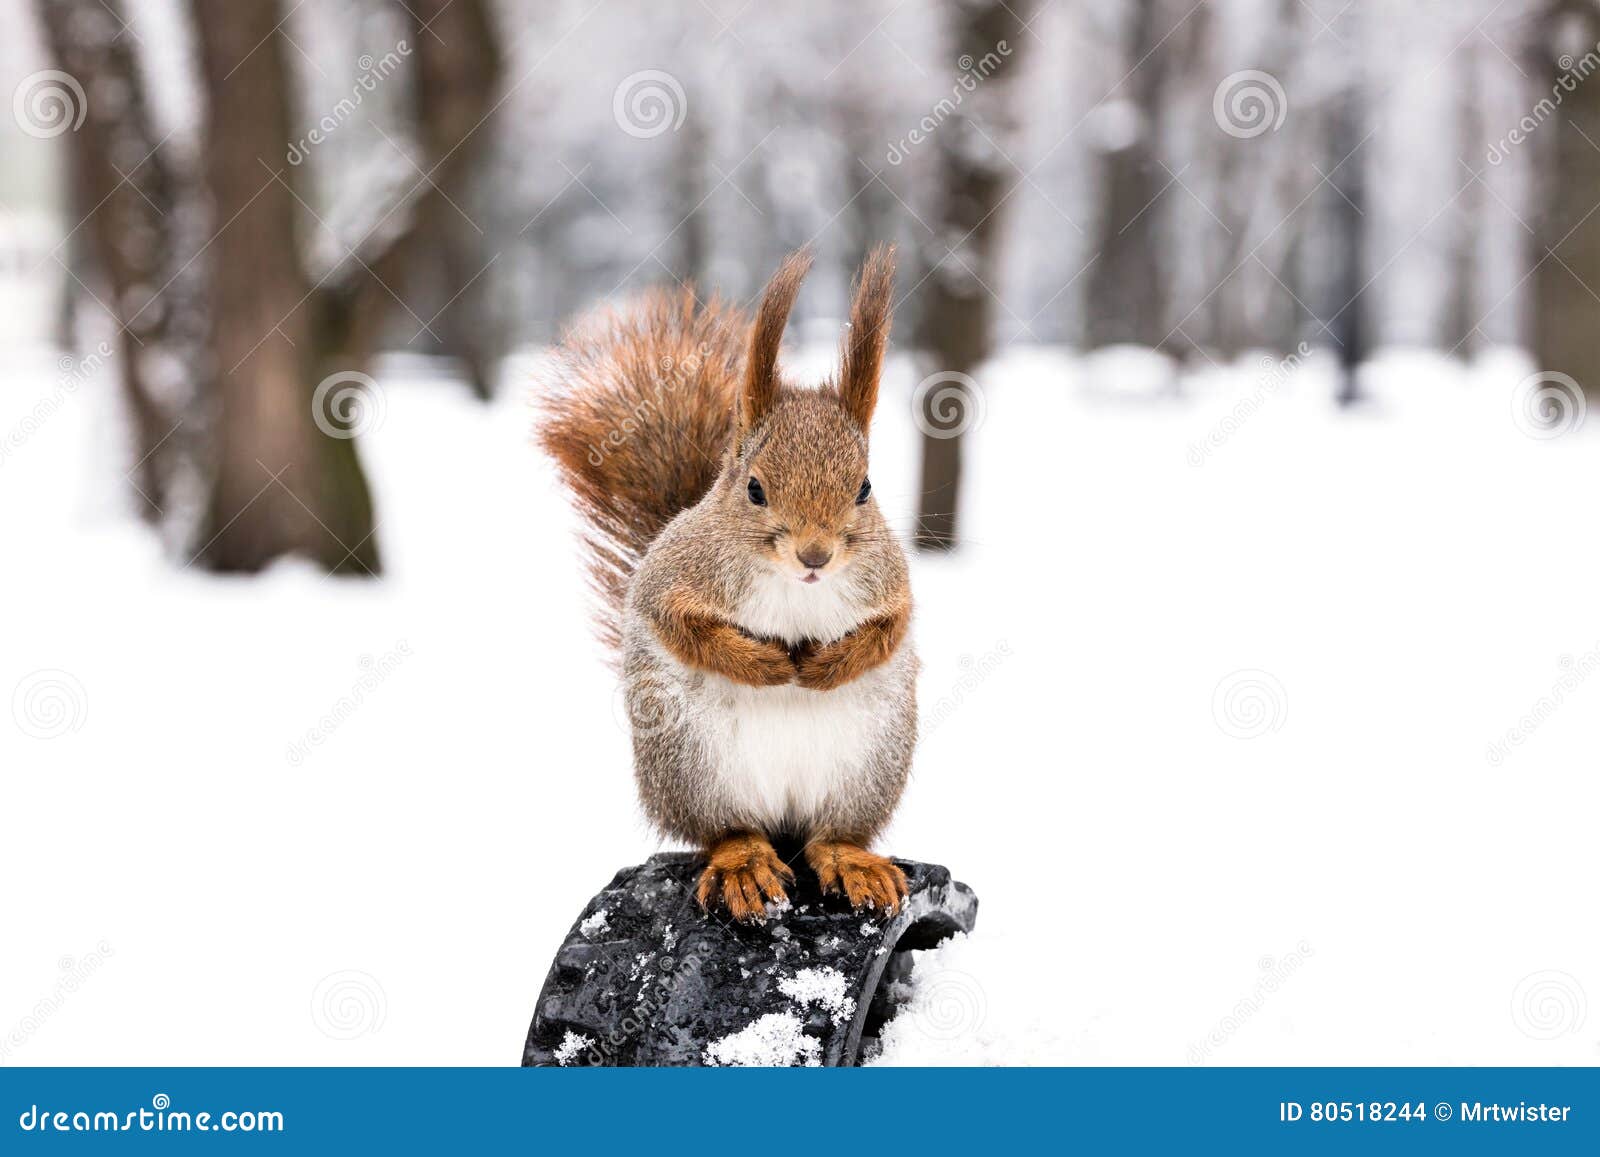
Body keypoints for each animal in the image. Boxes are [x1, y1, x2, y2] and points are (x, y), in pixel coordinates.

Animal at [538, 246, 916, 924]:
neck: (795, 585)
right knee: (726, 830)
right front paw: (764, 665)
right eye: (755, 488)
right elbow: (679, 624)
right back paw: (743, 862)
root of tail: (783, 818)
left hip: (867, 772)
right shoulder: (673, 576)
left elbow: (889, 629)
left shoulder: (889, 582)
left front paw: (828, 666)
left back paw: (849, 858)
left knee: (829, 835)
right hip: (694, 767)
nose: (815, 555)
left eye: (865, 488)